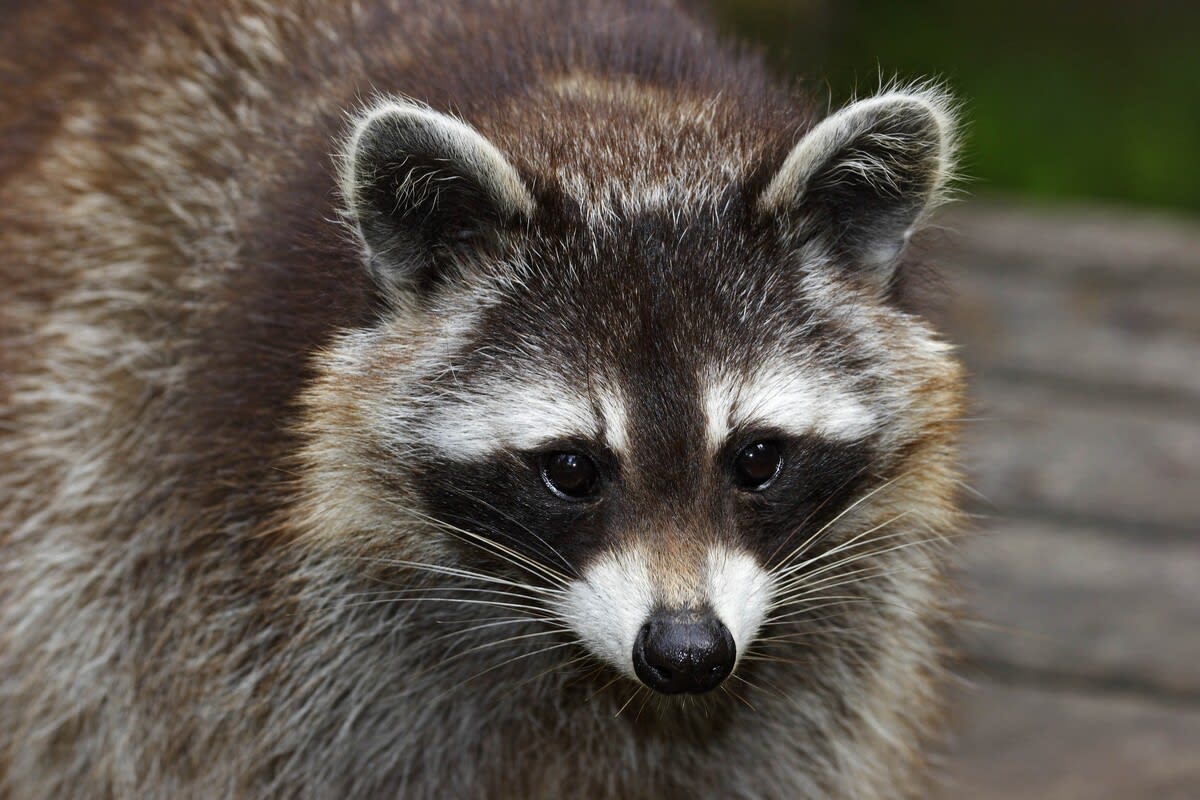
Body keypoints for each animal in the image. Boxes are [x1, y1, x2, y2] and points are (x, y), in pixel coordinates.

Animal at [0, 0, 965, 797]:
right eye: (571, 469)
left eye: (758, 458)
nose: (686, 653)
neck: (622, 123)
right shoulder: (234, 603)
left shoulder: (821, 662)